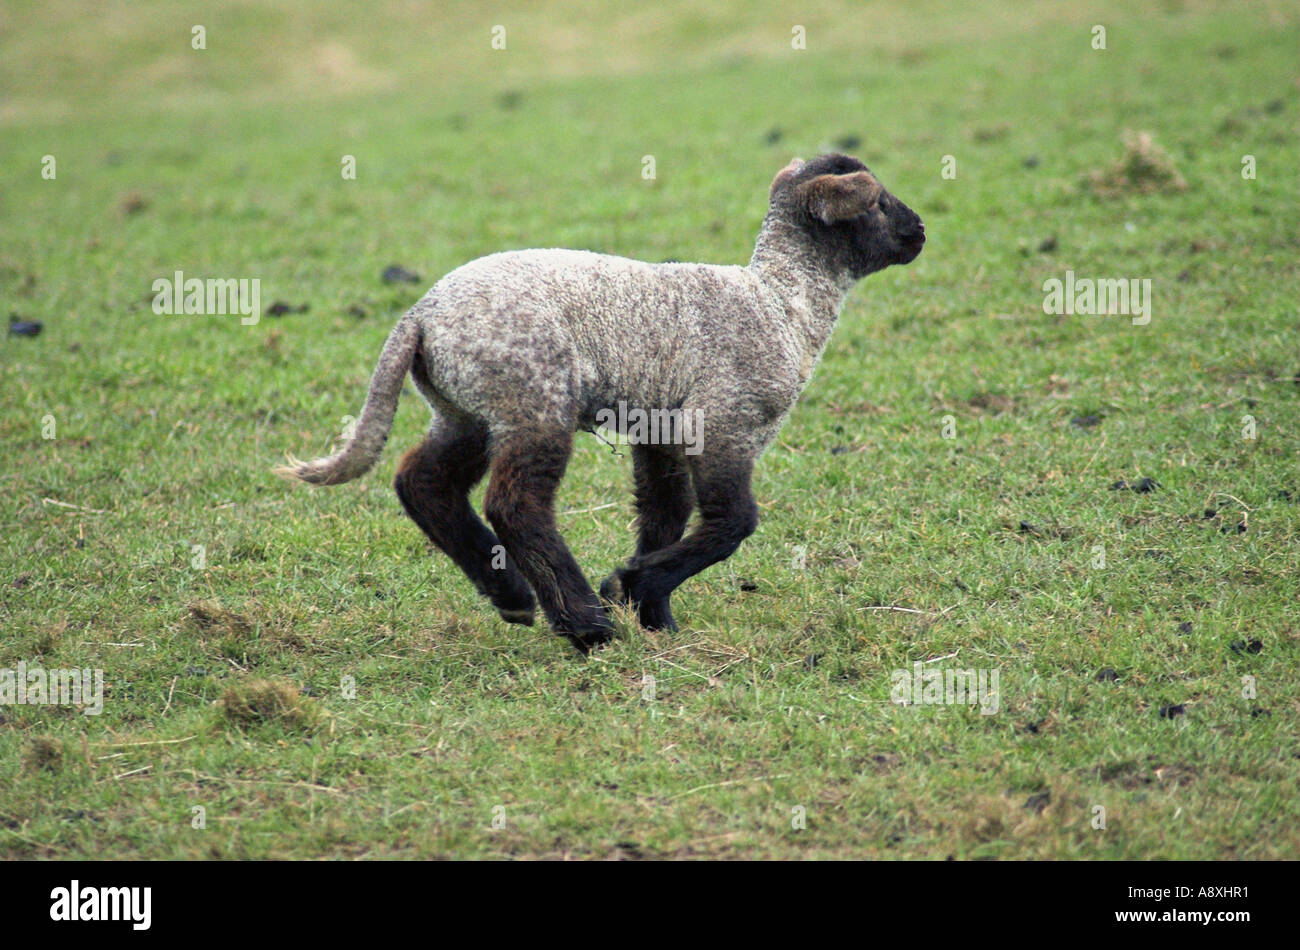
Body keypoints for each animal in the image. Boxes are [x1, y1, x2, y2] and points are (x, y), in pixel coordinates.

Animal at [276, 153, 925, 653]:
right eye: (876, 203)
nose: (920, 230)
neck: (782, 302)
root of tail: (419, 317)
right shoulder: (726, 417)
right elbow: (732, 521)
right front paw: (631, 586)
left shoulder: (662, 426)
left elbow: (664, 512)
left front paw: (658, 617)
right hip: (534, 398)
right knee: (515, 505)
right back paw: (586, 622)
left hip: (469, 408)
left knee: (423, 479)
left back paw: (512, 596)